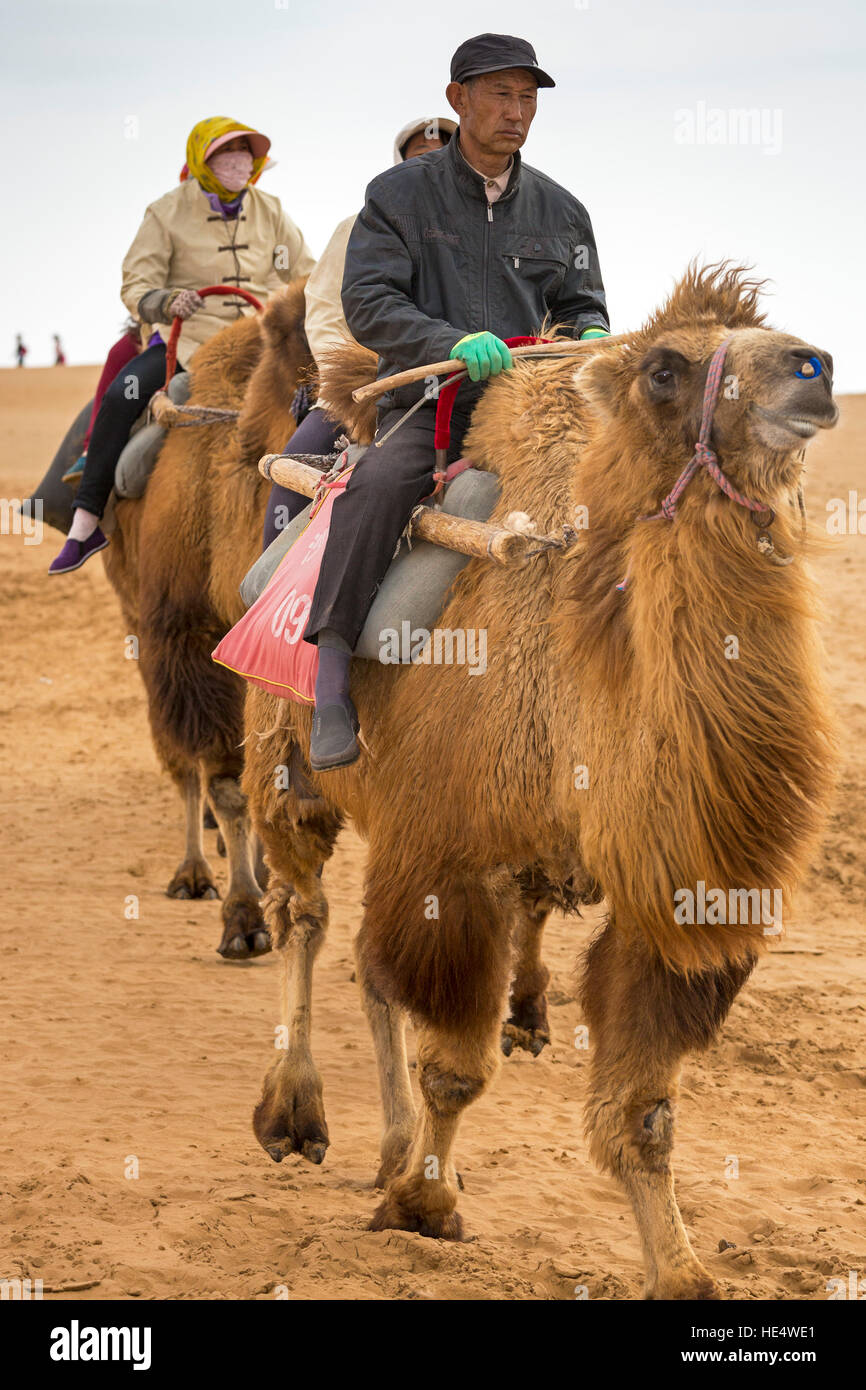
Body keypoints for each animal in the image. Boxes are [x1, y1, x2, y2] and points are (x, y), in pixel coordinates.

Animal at [243, 265, 838, 1298]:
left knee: (368, 956)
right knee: (303, 914)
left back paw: (391, 1143)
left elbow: (644, 1111)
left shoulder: (664, 900)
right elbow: (456, 1069)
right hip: (288, 760)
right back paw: (295, 1116)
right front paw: (426, 1207)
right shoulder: (450, 857)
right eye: (665, 369)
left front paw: (682, 1271)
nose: (816, 369)